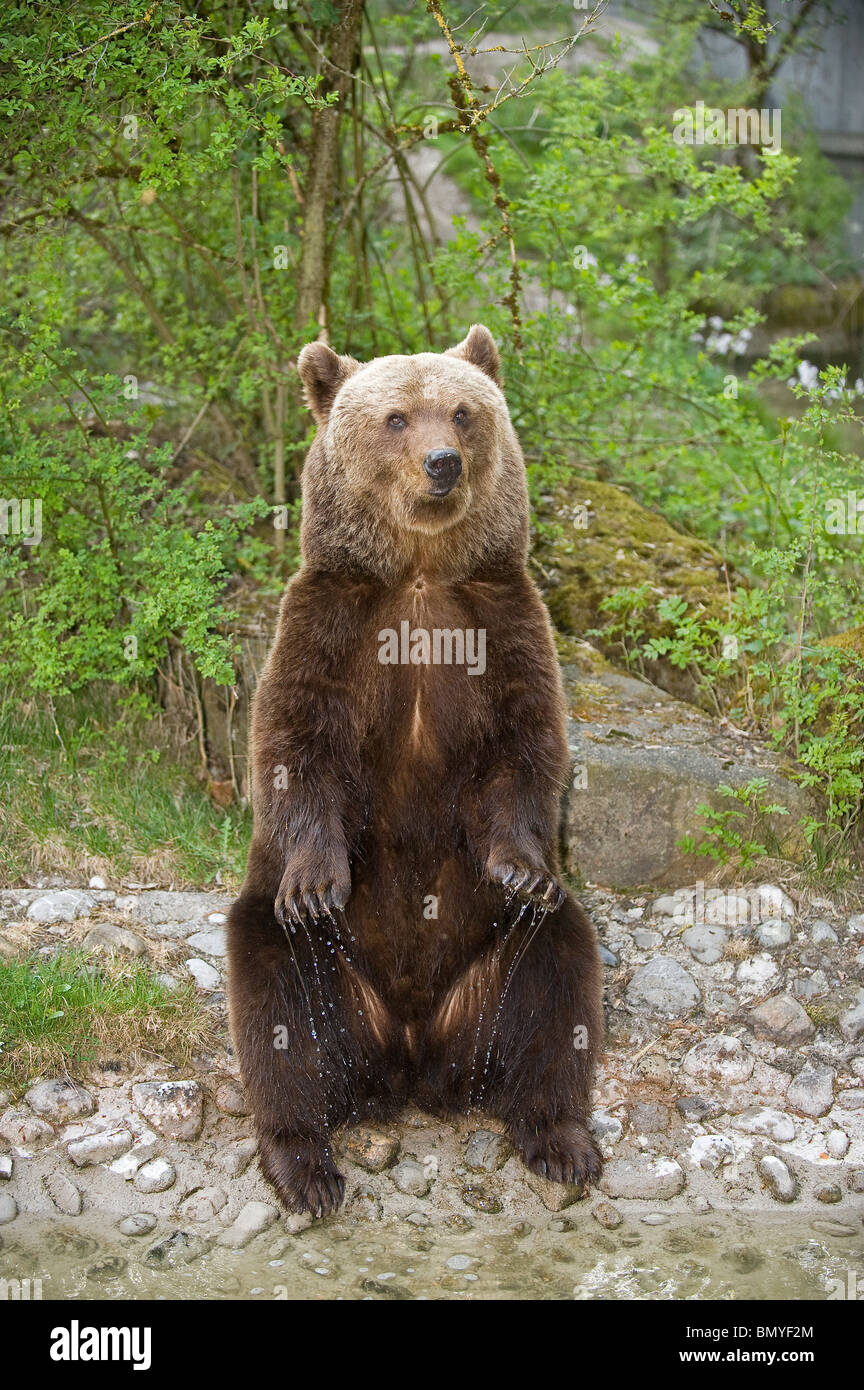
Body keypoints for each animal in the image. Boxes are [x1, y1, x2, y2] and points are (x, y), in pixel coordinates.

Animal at [227, 325, 604, 1216]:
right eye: (396, 416)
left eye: (463, 412)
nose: (443, 463)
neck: (421, 572)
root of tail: (411, 1056)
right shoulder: (330, 623)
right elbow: (295, 749)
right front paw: (316, 880)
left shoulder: (502, 621)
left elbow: (526, 751)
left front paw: (523, 867)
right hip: (316, 965)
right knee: (276, 1014)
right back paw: (304, 1165)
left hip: (498, 958)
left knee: (559, 989)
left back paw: (561, 1142)